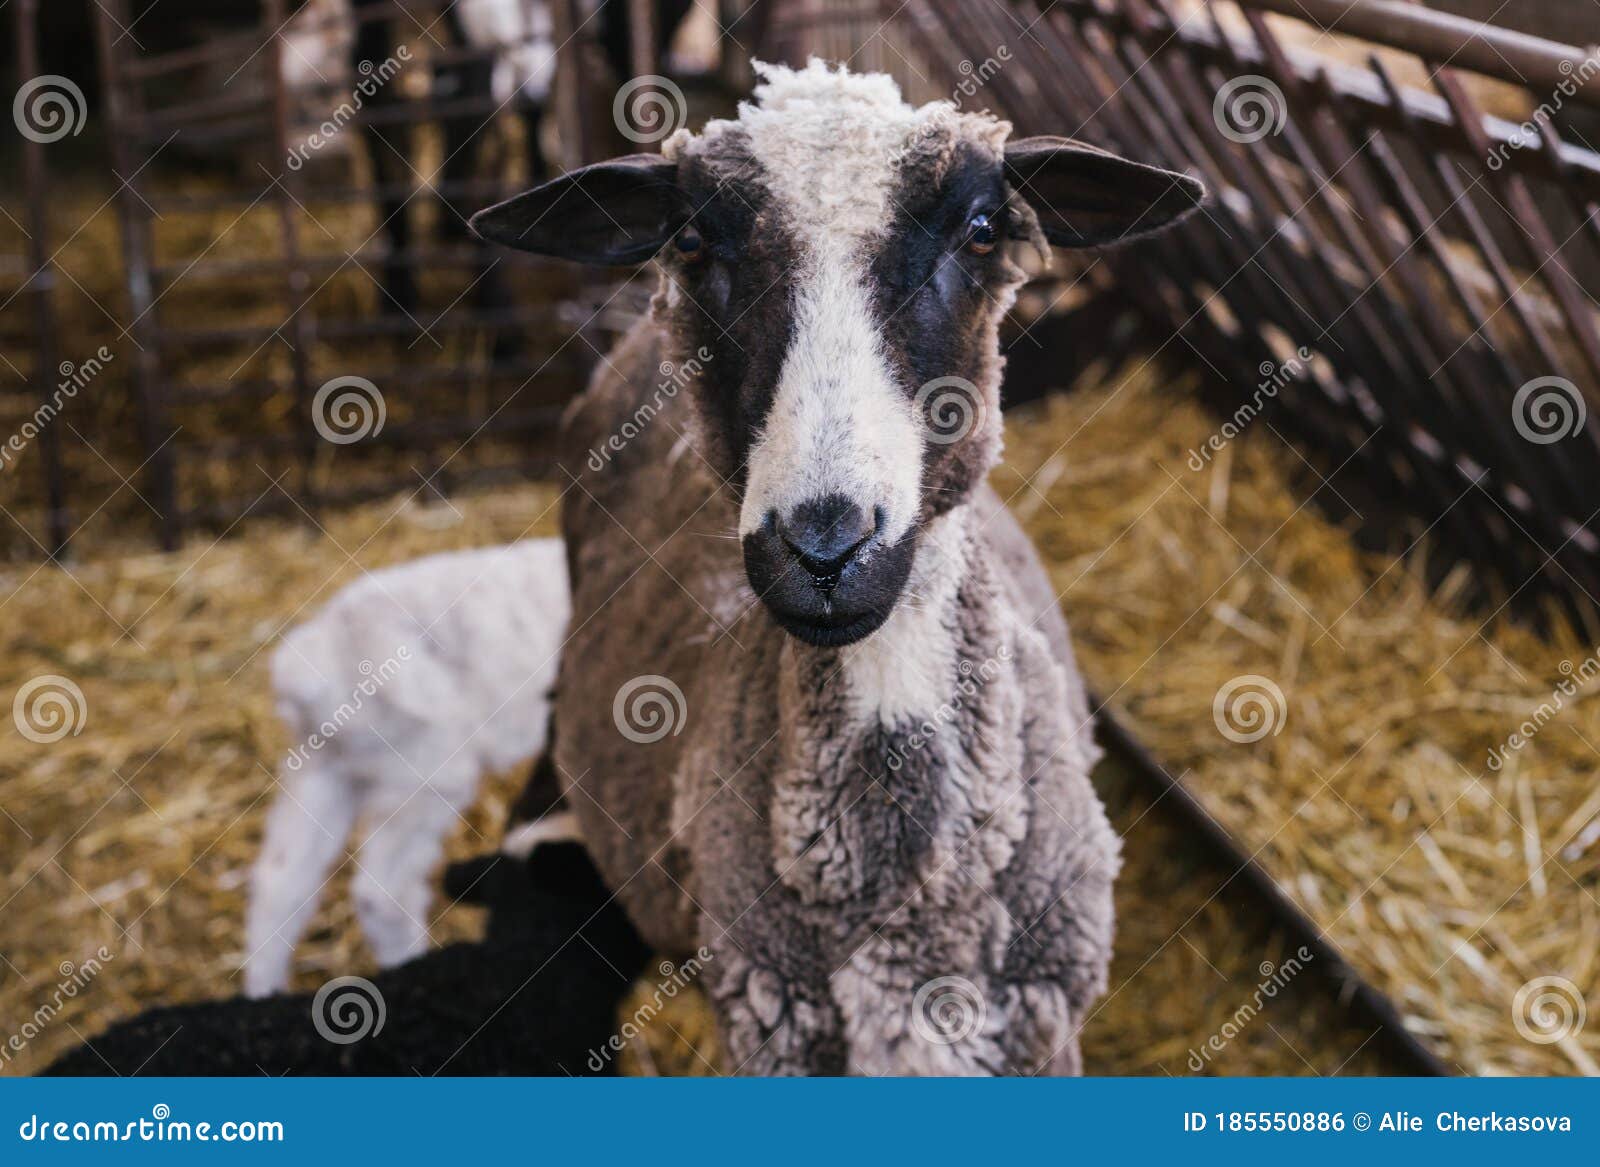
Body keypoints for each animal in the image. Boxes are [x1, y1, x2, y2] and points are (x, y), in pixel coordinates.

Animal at [243, 536, 572, 998]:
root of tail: (319, 654)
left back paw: (262, 990)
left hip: (325, 769)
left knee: (281, 882)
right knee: (381, 893)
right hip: (424, 775)